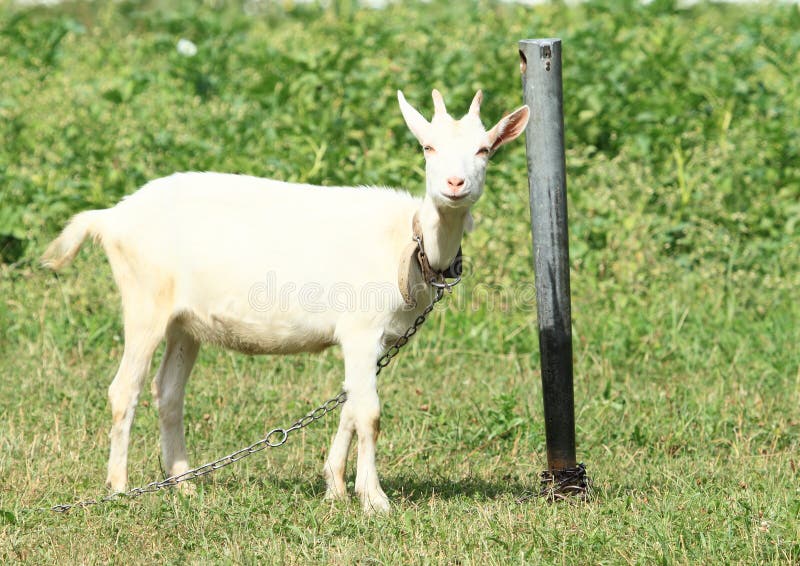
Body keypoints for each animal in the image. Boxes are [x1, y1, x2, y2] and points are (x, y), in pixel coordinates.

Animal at [42, 89, 529, 513]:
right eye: (428, 147)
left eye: (485, 150)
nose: (454, 183)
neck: (408, 241)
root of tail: (110, 218)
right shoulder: (361, 328)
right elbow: (369, 412)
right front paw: (375, 500)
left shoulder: (373, 338)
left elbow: (350, 405)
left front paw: (335, 488)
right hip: (144, 296)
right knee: (125, 388)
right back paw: (119, 490)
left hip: (184, 322)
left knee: (169, 393)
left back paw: (184, 485)